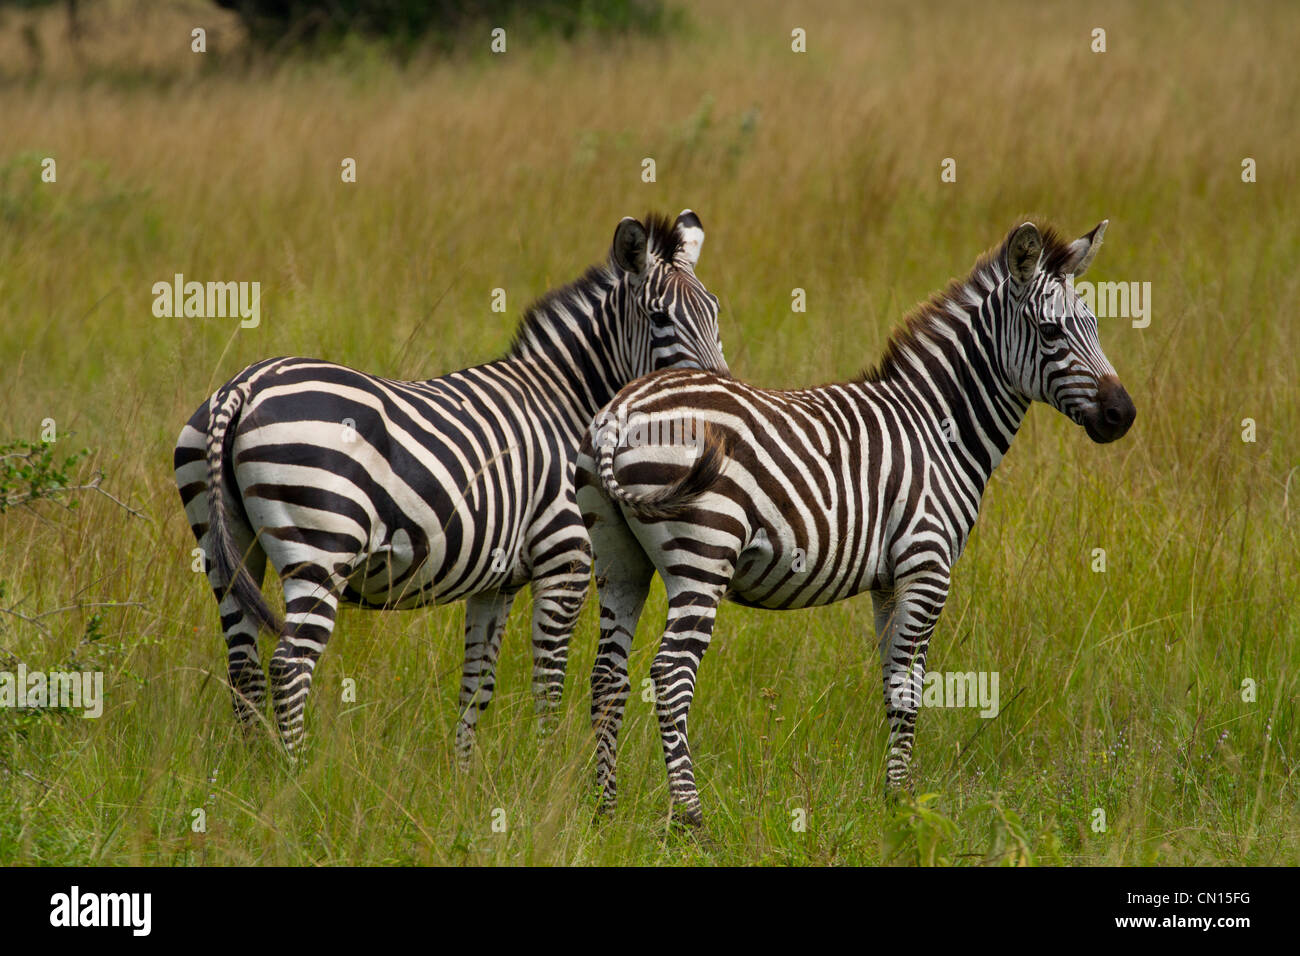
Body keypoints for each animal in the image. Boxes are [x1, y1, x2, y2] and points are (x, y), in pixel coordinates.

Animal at [174, 210, 728, 759]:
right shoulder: (564, 559)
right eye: (659, 317)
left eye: (716, 311)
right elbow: (548, 686)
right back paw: (295, 772)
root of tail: (244, 386)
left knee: (243, 667)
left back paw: (256, 771)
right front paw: (549, 770)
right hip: (321, 547)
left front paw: (466, 774)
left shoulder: (496, 582)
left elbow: (477, 686)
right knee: (289, 667)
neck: (566, 402)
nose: (720, 397)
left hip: (227, 549)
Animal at [575, 218, 1136, 825]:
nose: (1123, 415)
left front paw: (895, 800)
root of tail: (621, 410)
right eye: (1051, 332)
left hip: (620, 560)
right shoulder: (927, 565)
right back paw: (690, 819)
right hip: (704, 555)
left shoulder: (889, 581)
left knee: (607, 677)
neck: (940, 426)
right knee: (671, 676)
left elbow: (893, 685)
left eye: (1095, 325)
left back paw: (605, 812)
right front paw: (905, 806)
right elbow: (911, 690)